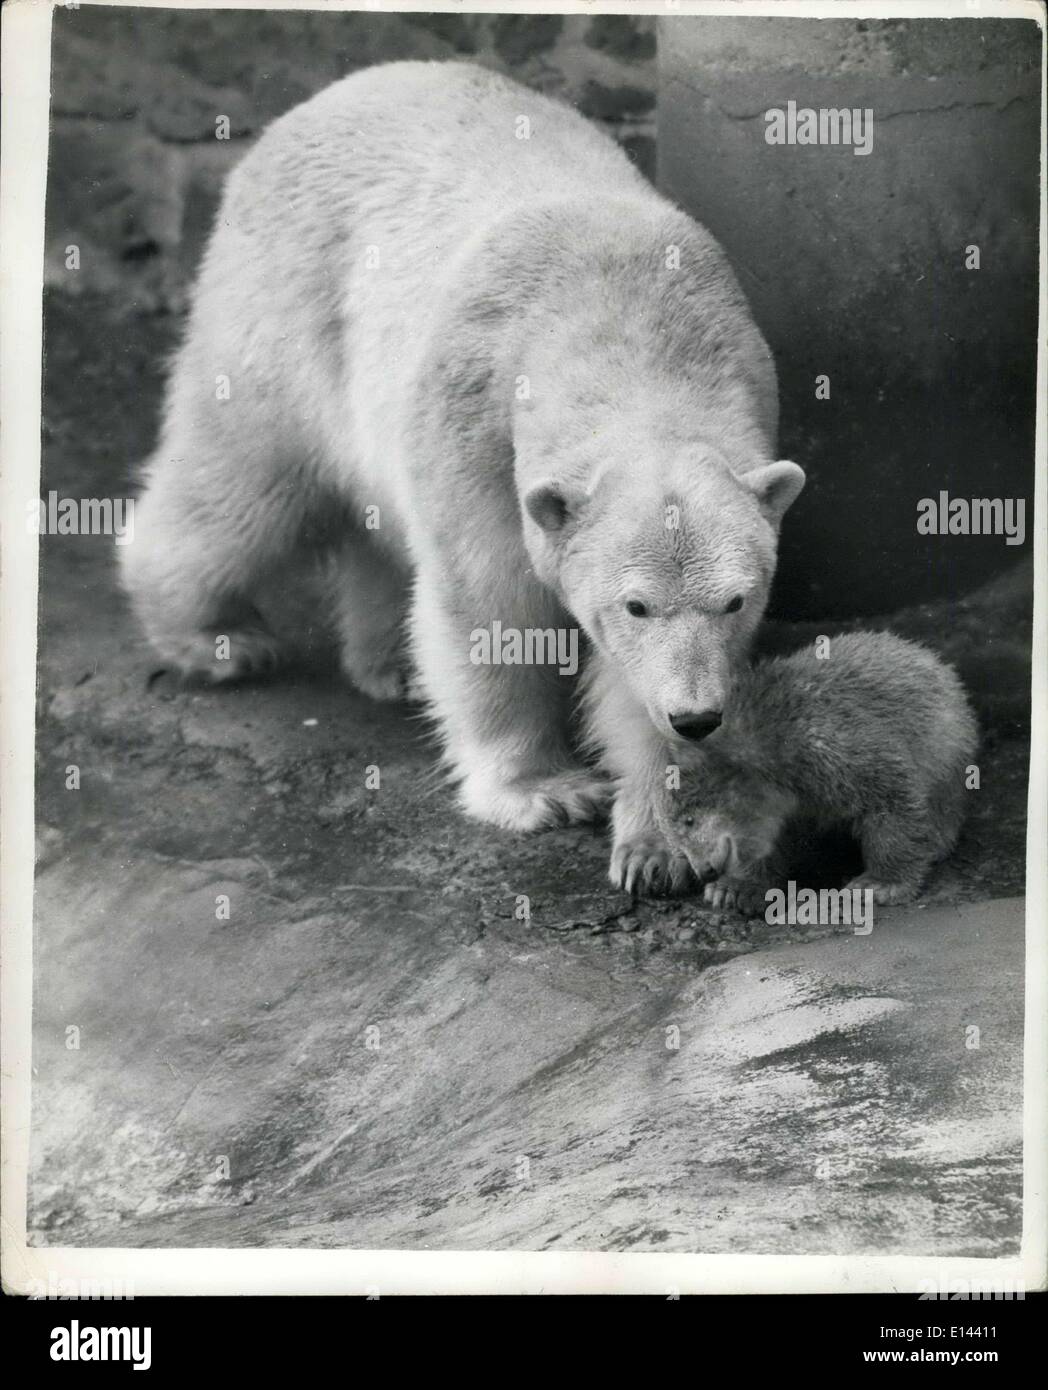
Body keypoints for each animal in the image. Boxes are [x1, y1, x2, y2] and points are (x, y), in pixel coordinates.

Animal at [119, 61, 805, 883]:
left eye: (737, 600)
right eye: (636, 605)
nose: (697, 716)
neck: (627, 316)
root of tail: (325, 97)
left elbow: (623, 682)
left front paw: (660, 845)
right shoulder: (478, 414)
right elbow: (490, 599)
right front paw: (543, 792)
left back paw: (391, 665)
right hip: (286, 309)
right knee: (244, 487)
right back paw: (215, 638)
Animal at [652, 631, 979, 911]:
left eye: (689, 821)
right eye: (676, 845)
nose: (704, 871)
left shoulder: (824, 743)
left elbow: (889, 792)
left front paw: (880, 883)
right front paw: (733, 888)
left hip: (946, 738)